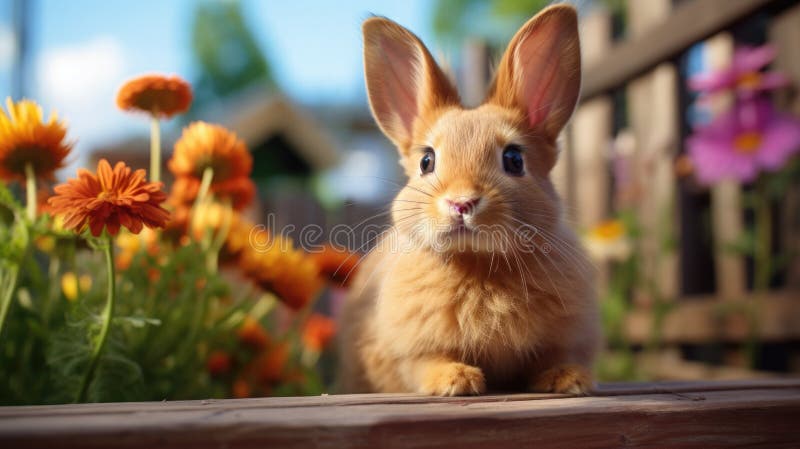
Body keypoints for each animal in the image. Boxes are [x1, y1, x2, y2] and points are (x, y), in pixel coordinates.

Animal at [338, 4, 600, 396]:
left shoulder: (564, 337)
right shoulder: (410, 349)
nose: (461, 203)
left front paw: (568, 379)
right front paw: (455, 380)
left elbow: (553, 356)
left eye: (514, 159)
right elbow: (425, 362)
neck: (477, 263)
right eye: (426, 161)